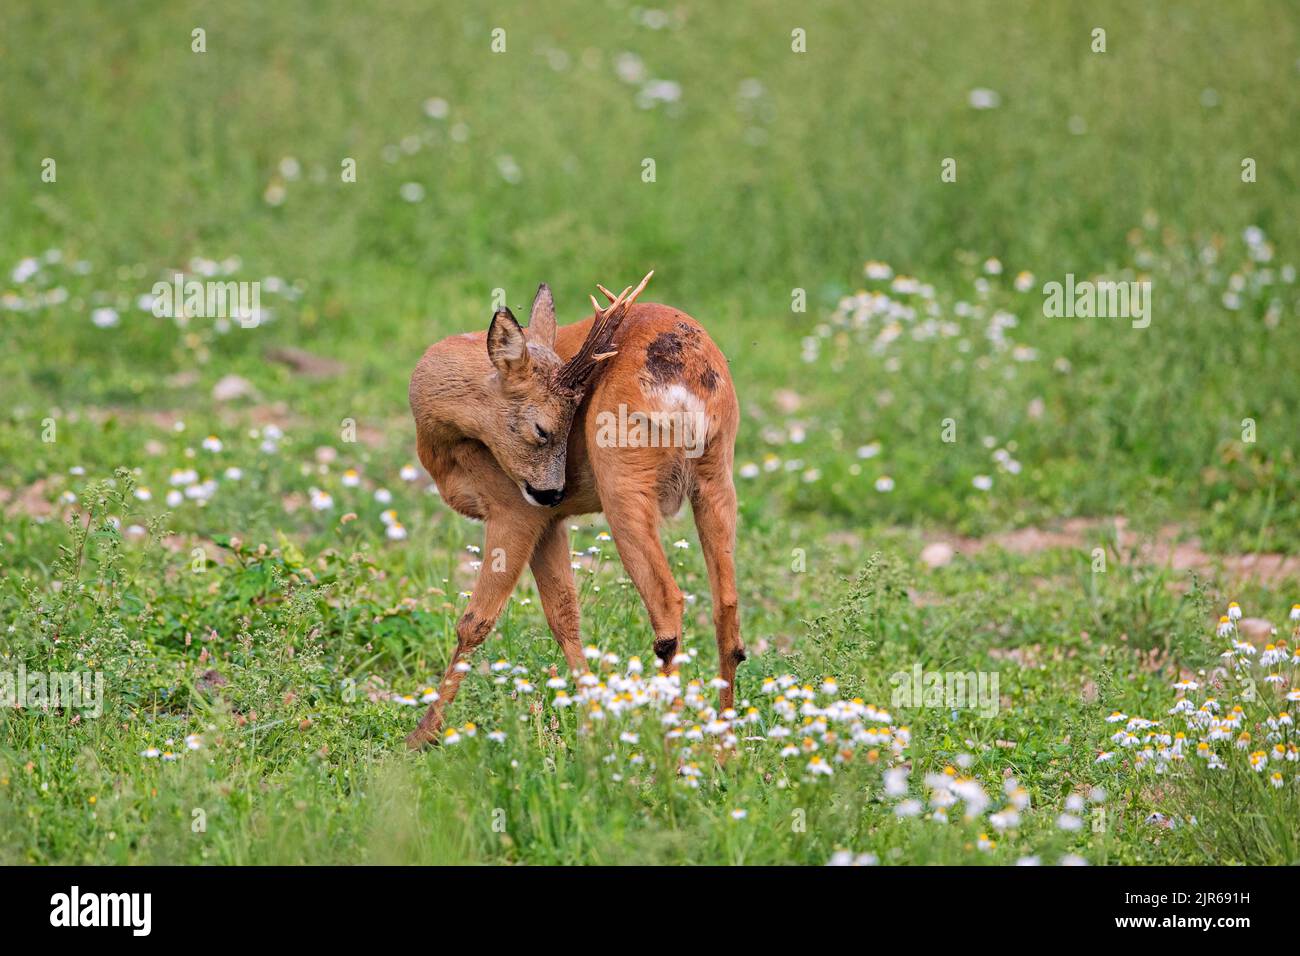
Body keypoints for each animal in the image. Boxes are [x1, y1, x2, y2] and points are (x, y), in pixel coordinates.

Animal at [404, 273, 744, 748]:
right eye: (545, 429)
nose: (555, 491)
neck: (443, 442)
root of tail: (689, 377)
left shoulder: (515, 510)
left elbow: (475, 622)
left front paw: (421, 735)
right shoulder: (549, 522)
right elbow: (565, 617)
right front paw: (590, 723)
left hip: (623, 480)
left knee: (668, 602)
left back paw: (670, 745)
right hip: (717, 473)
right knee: (726, 607)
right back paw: (722, 750)